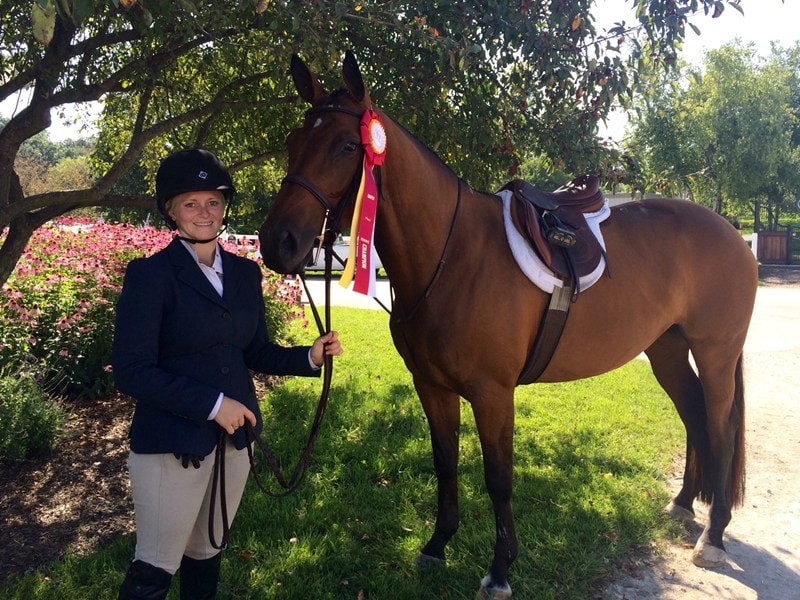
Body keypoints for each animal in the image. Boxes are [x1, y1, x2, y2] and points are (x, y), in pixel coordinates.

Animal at [258, 51, 758, 599]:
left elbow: (498, 478)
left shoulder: (493, 393)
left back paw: (713, 535)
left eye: (348, 145)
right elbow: (445, 461)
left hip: (715, 353)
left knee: (719, 425)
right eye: (293, 141)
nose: (277, 242)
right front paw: (437, 545)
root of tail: (730, 232)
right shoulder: (432, 385)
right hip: (666, 350)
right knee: (692, 415)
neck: (452, 255)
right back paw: (684, 504)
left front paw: (499, 570)